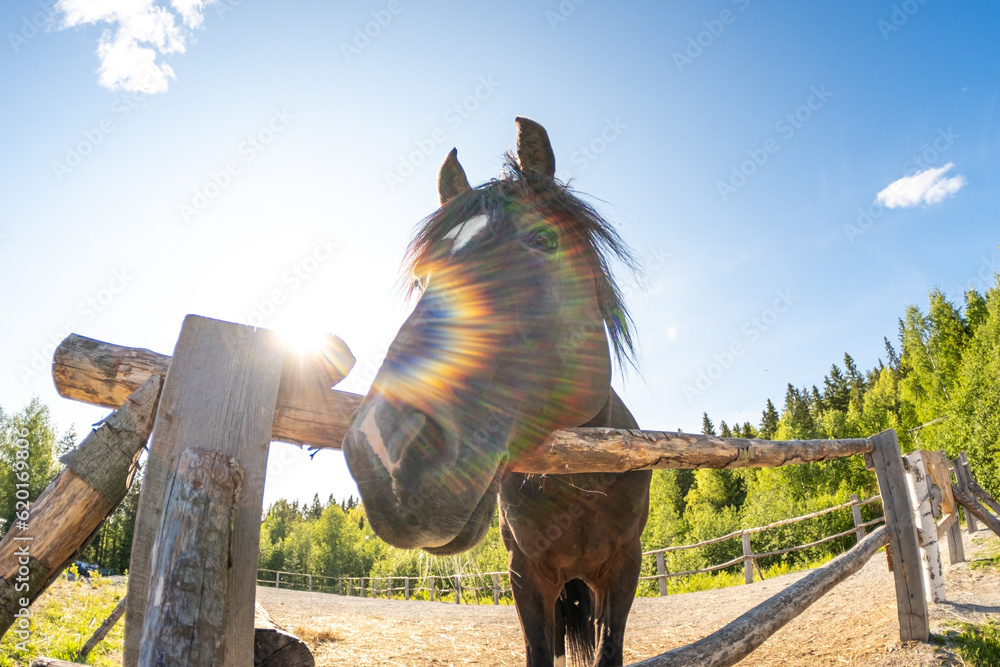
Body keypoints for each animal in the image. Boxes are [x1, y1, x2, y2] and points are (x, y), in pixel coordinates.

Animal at [342, 117, 652, 667]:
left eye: (543, 240)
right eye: (423, 276)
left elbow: (608, 649)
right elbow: (540, 651)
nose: (386, 450)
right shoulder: (525, 573)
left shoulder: (624, 568)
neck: (584, 478)